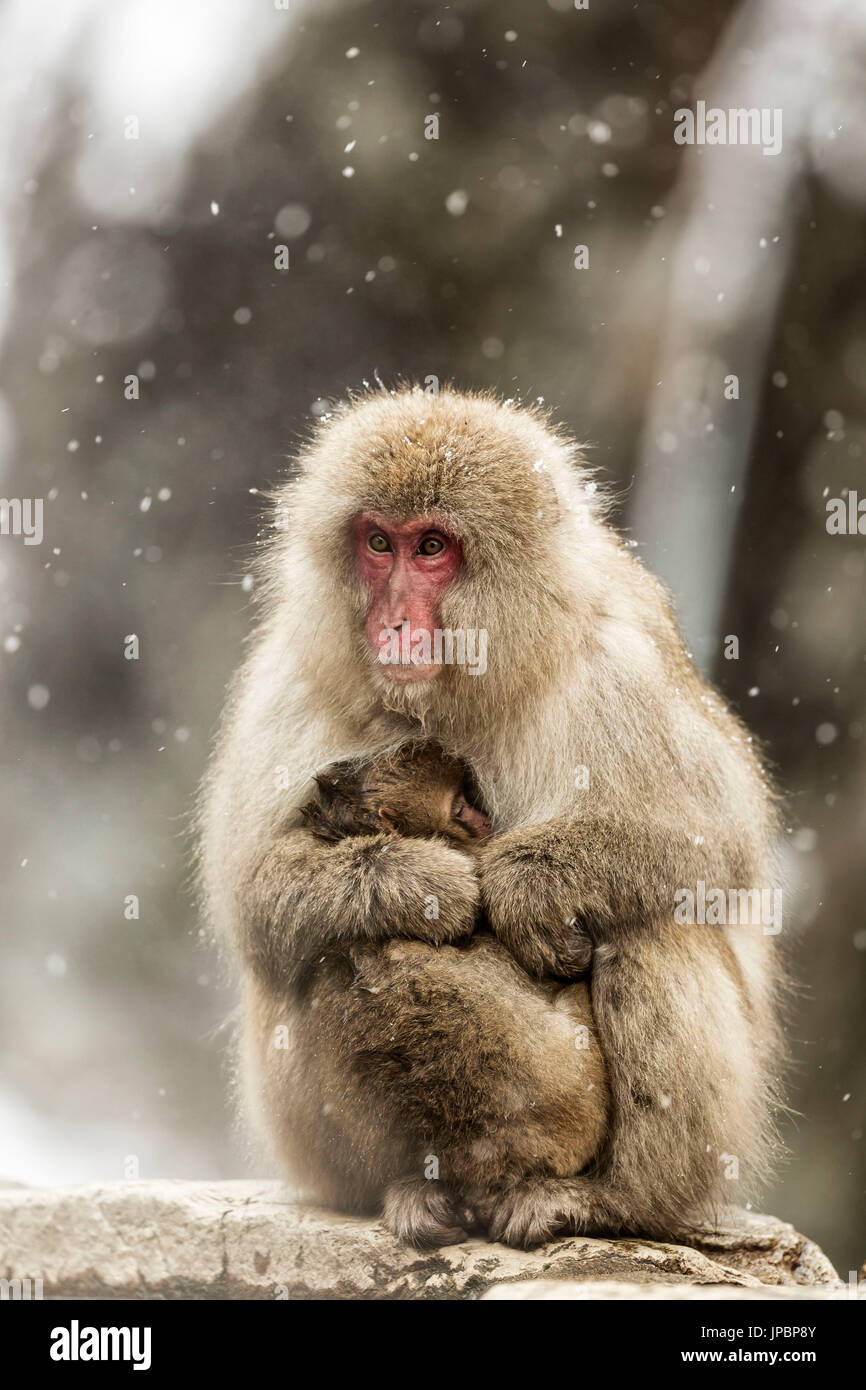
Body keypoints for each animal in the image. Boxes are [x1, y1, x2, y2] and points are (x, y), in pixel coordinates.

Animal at [200, 384, 784, 1250]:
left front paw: (525, 883)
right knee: (313, 950)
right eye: (379, 543)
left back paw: (614, 1201)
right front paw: (418, 883)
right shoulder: (292, 672)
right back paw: (413, 1188)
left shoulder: (622, 659)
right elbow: (253, 894)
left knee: (652, 922)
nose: (393, 623)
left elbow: (722, 846)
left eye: (432, 547)